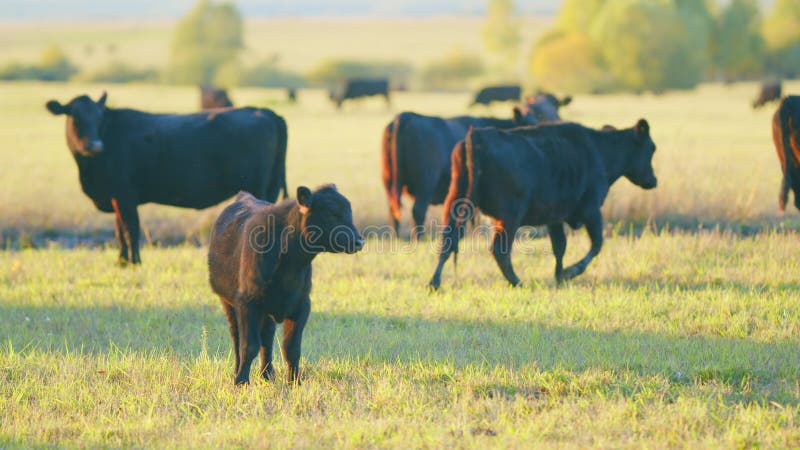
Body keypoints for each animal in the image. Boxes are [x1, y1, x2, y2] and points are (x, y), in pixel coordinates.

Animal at [45, 92, 288, 265]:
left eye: (98, 118)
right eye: (75, 118)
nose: (95, 145)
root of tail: (263, 111)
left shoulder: (125, 195)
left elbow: (130, 229)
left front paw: (134, 262)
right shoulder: (116, 197)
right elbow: (119, 230)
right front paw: (121, 261)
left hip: (259, 187)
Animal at [208, 186, 364, 385]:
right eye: (331, 214)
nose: (359, 241)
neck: (290, 265)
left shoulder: (302, 304)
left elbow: (291, 348)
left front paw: (294, 382)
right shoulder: (247, 302)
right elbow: (248, 345)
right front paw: (241, 382)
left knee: (266, 338)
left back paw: (267, 374)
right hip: (228, 302)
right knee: (237, 337)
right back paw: (238, 371)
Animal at [381, 105, 541, 239]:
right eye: (529, 123)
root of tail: (406, 116)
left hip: (388, 180)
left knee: (393, 209)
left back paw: (394, 238)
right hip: (426, 181)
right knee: (418, 210)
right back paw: (418, 239)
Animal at [428, 120, 658, 290]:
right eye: (651, 148)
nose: (653, 180)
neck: (600, 152)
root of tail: (476, 137)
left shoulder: (554, 217)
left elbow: (560, 247)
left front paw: (559, 275)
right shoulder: (591, 210)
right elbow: (596, 244)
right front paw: (570, 272)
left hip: (455, 202)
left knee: (447, 241)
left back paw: (434, 283)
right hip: (510, 215)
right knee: (499, 250)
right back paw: (517, 282)